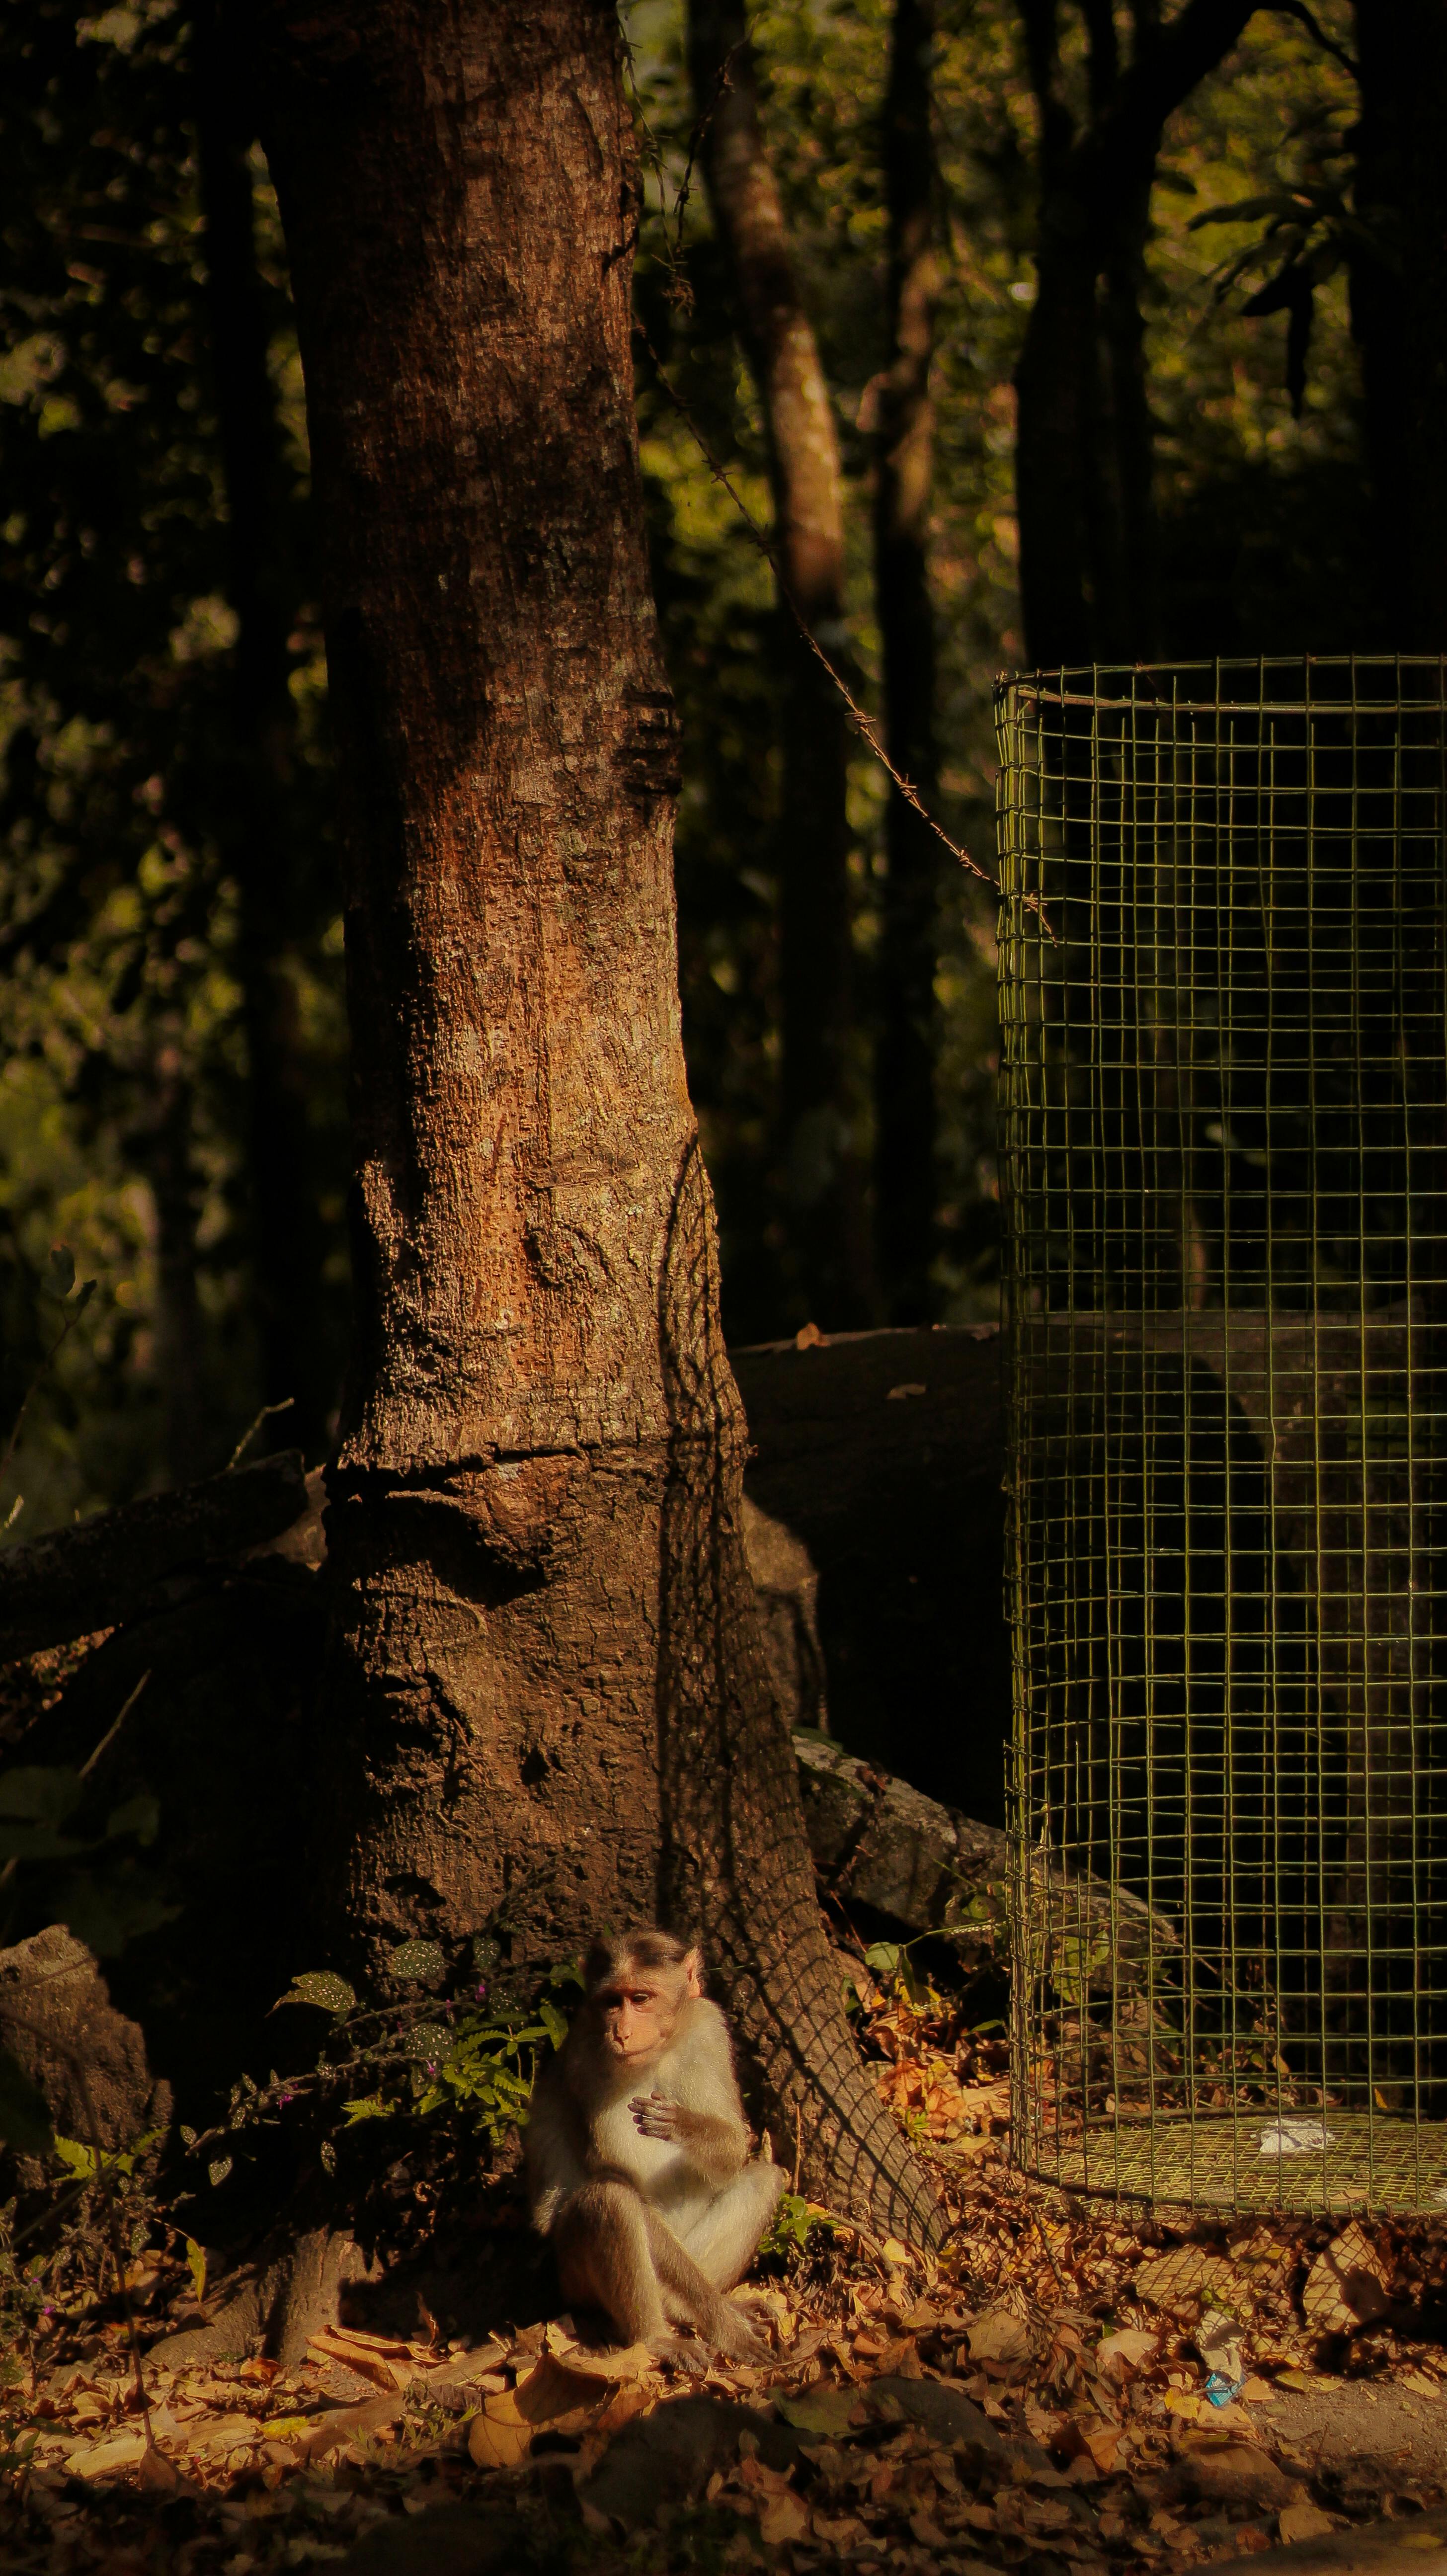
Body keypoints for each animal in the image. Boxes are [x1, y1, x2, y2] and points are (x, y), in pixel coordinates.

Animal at [524, 1929, 787, 2359]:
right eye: (613, 2002)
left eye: (641, 1998)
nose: (621, 2032)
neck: (655, 2056)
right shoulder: (585, 2065)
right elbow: (624, 2192)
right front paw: (726, 2327)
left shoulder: (709, 2027)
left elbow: (735, 2146)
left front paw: (684, 2125)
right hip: (576, 2283)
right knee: (611, 2201)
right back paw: (656, 2336)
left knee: (764, 2178)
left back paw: (685, 2310)